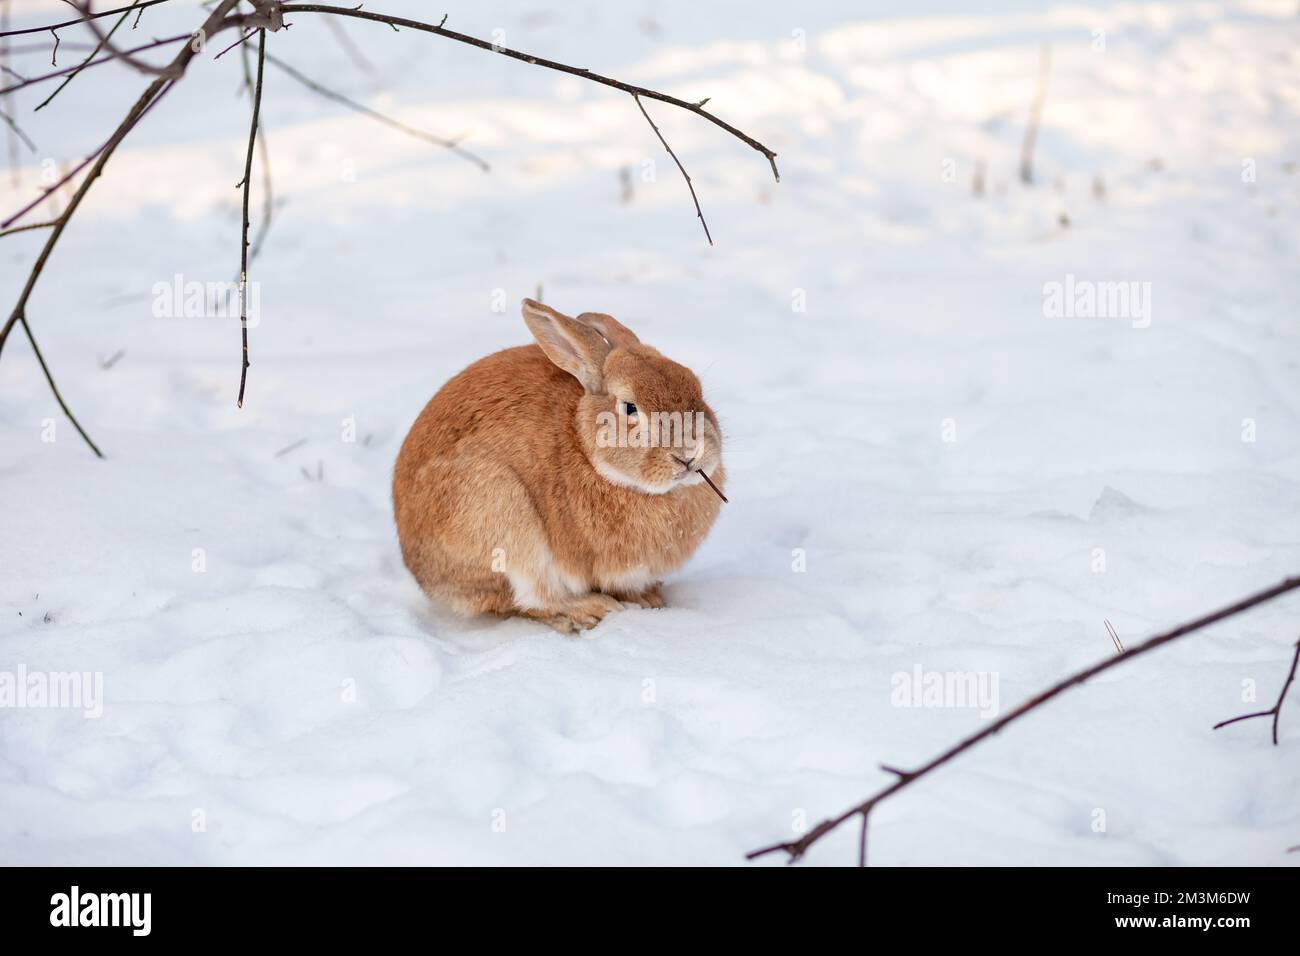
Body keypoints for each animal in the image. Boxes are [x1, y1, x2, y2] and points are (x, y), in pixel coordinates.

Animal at [392, 298, 725, 633]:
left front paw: (648, 597)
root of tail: (421, 571)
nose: (690, 453)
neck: (588, 451)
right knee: (533, 598)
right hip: (503, 515)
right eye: (630, 407)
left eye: (695, 386)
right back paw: (591, 610)